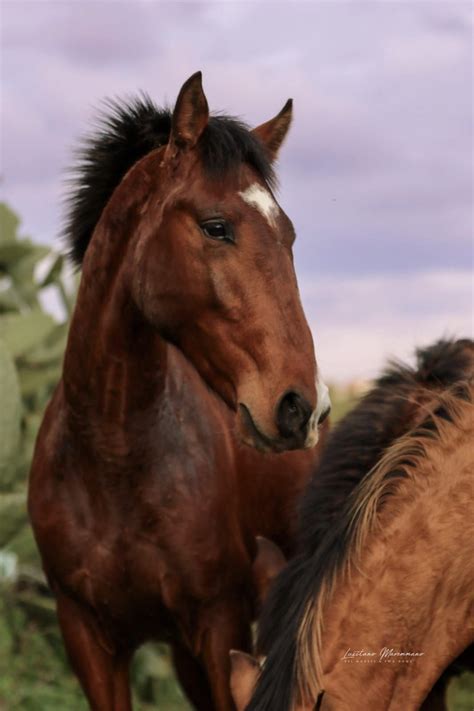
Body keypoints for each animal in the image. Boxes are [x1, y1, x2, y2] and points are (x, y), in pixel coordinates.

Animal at [27, 72, 331, 711]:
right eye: (216, 227)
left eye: (289, 235)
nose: (303, 406)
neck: (112, 461)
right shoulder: (88, 640)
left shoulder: (219, 627)